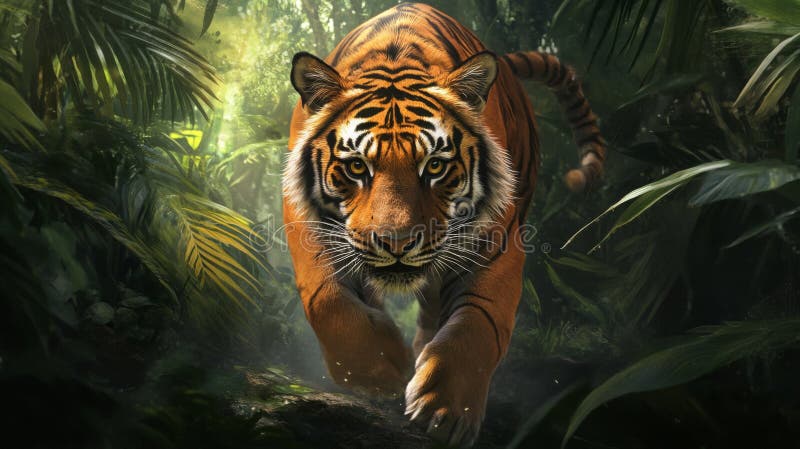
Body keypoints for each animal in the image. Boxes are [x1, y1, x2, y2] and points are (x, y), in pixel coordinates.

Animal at [282, 2, 606, 447]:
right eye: (356, 167)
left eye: (434, 166)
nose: (396, 242)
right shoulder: (305, 224)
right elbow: (327, 299)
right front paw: (380, 371)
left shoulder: (496, 244)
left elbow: (478, 323)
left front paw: (447, 410)